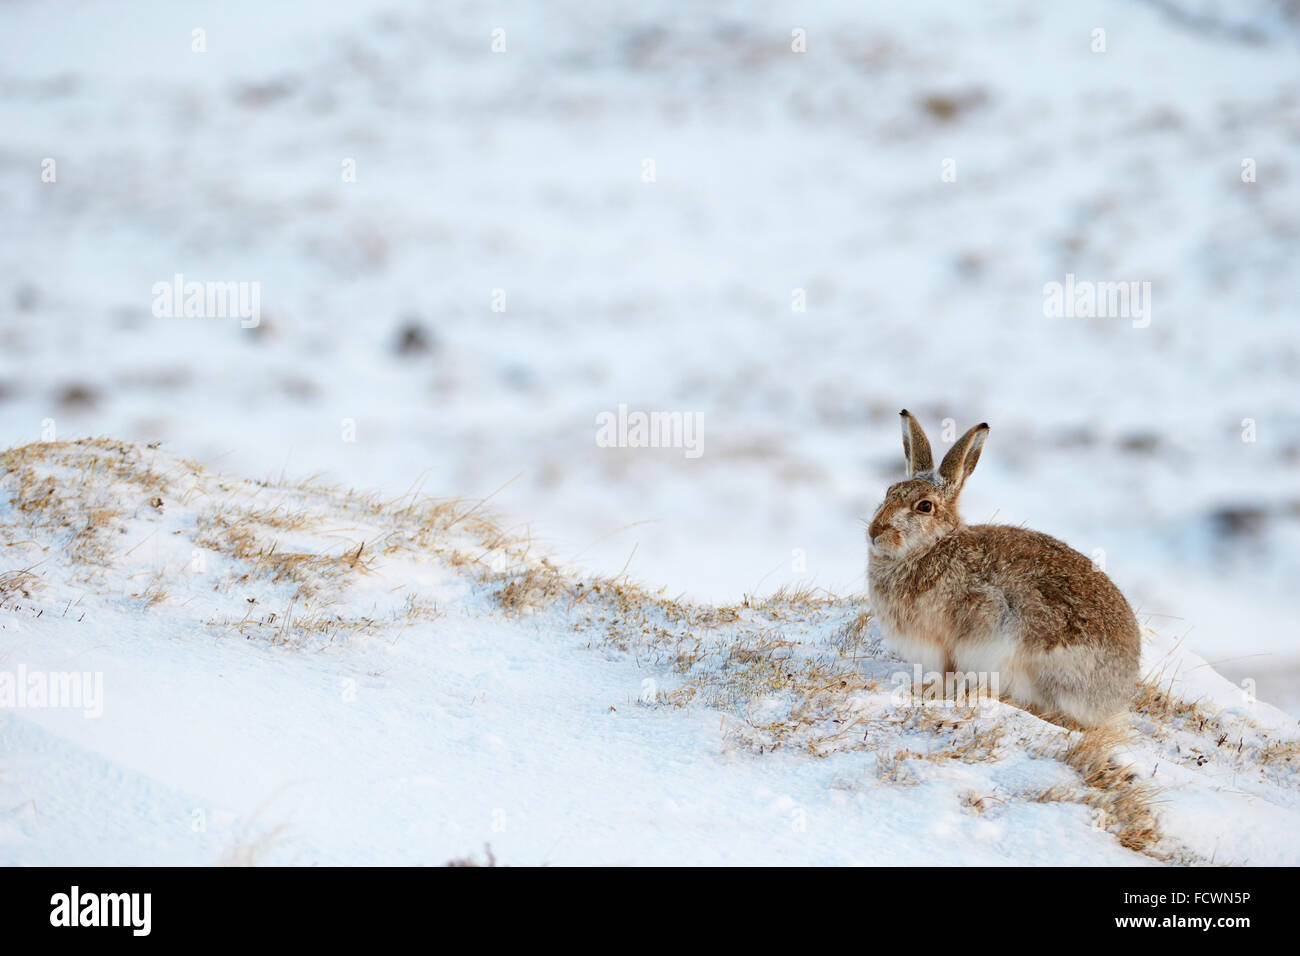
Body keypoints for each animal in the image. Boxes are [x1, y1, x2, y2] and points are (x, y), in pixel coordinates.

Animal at [867, 410, 1140, 728]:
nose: (874, 532)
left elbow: (948, 672)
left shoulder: (957, 638)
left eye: (924, 506)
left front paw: (927, 692)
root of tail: (1115, 696)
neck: (931, 546)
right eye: (889, 492)